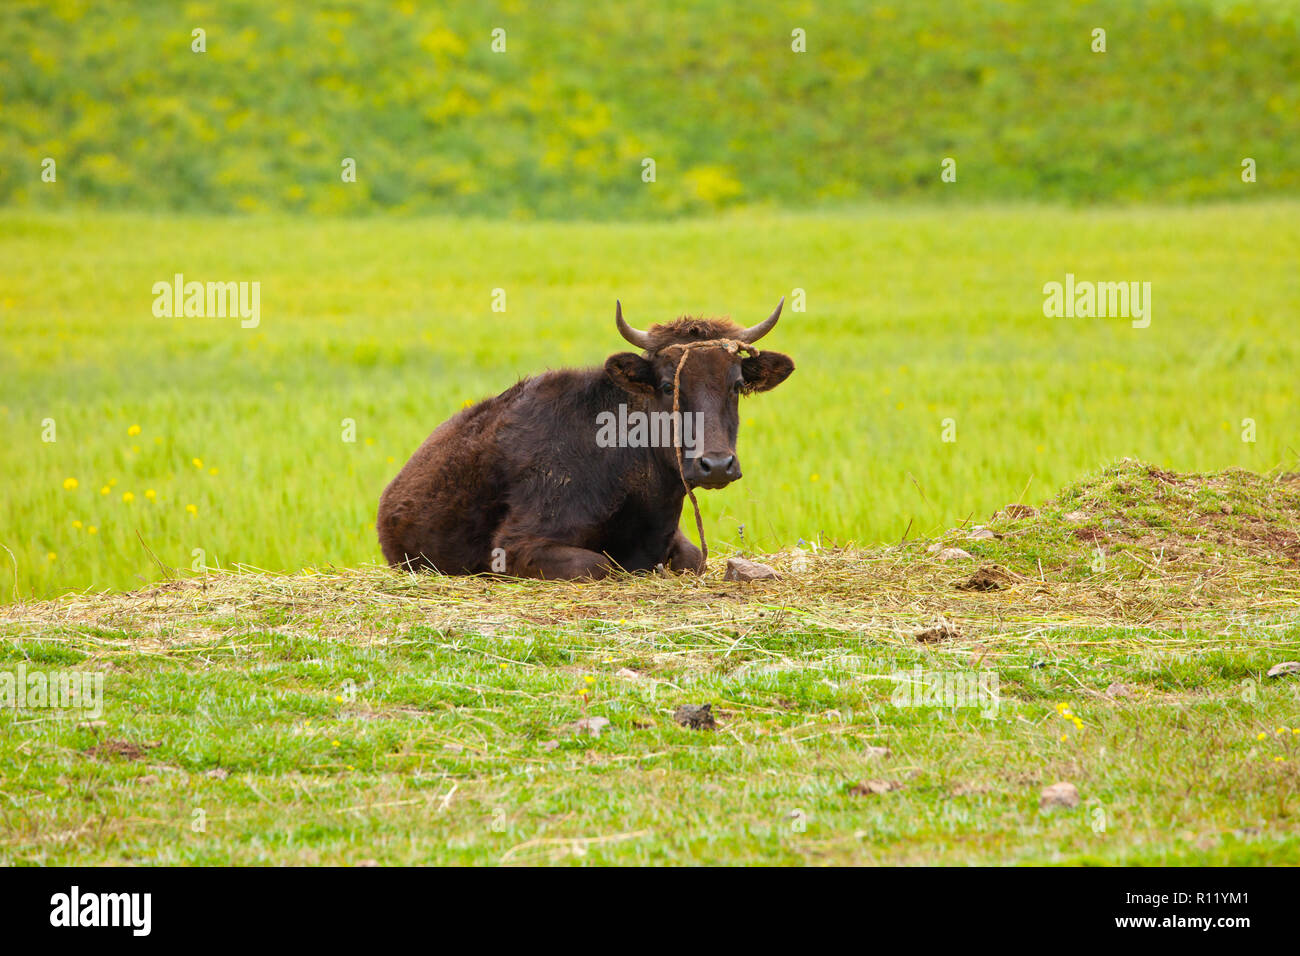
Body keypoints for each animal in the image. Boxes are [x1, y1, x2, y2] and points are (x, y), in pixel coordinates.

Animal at [376, 300, 794, 579]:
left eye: (736, 385)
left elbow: (693, 559)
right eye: (665, 385)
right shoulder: (514, 545)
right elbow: (600, 564)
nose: (717, 465)